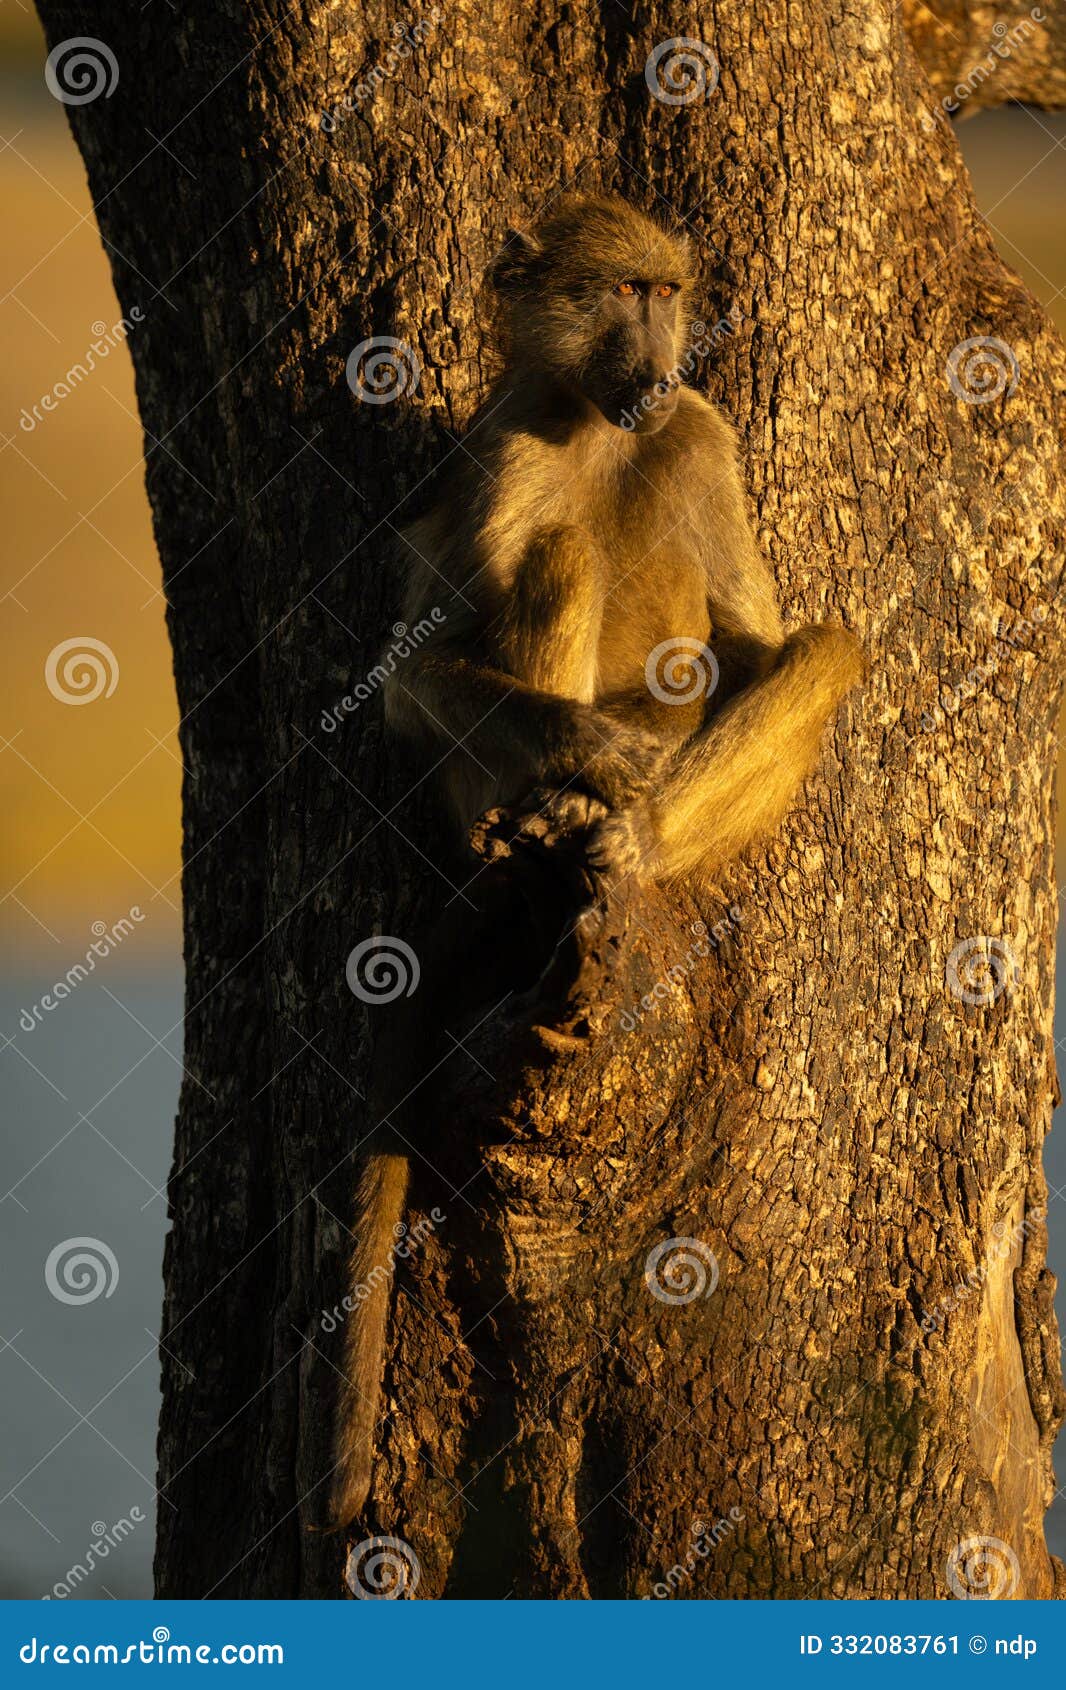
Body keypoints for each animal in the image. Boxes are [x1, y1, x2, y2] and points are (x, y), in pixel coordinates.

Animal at [328, 194, 864, 1527]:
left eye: (667, 290)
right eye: (623, 290)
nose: (661, 364)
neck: (593, 418)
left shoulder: (705, 435)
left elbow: (765, 643)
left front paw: (631, 796)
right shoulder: (503, 451)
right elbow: (411, 671)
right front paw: (598, 757)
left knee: (822, 650)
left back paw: (628, 839)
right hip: (479, 773)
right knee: (560, 551)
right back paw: (548, 823)